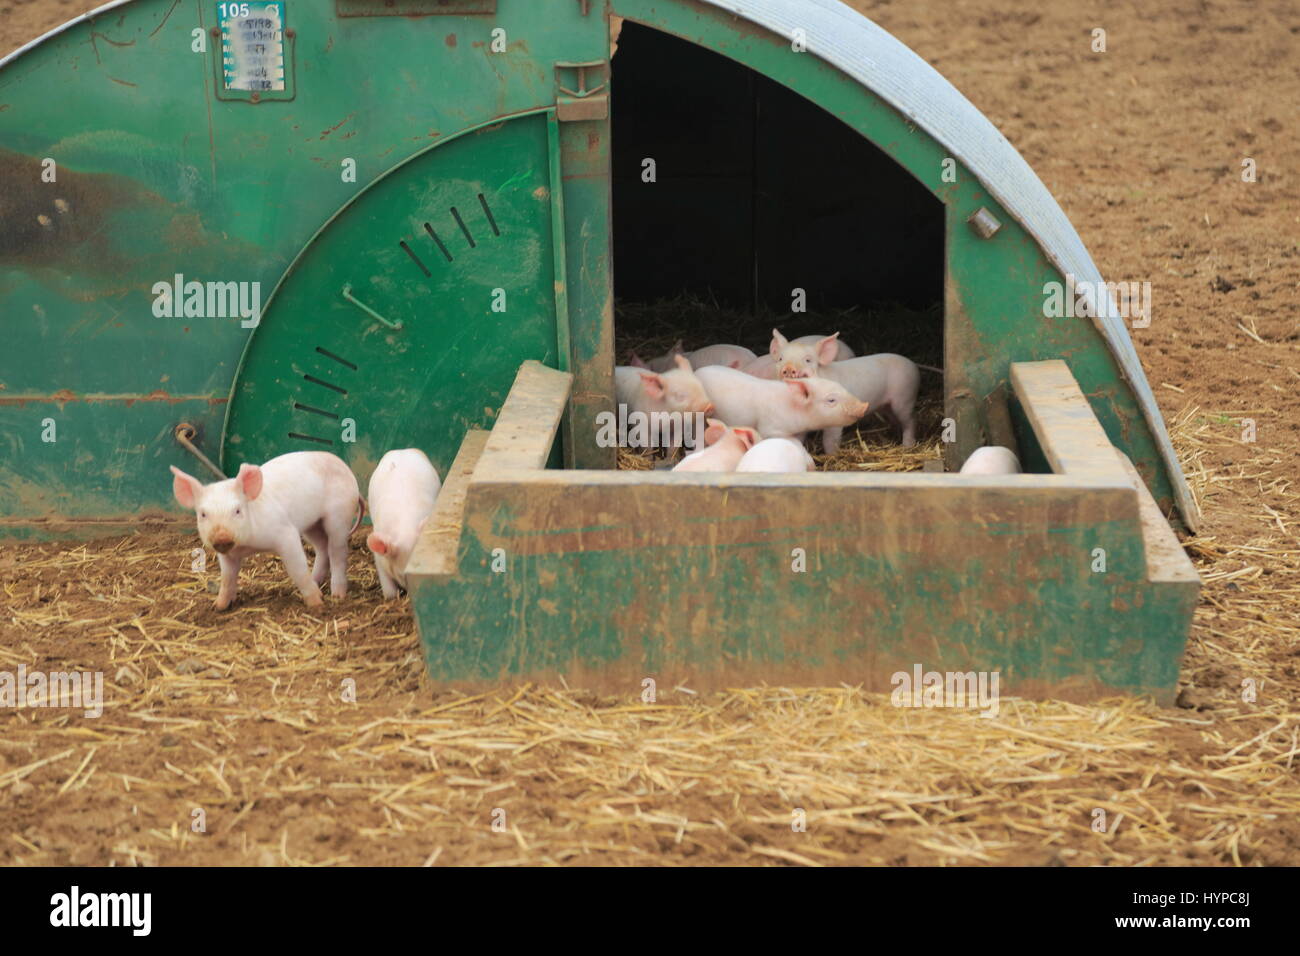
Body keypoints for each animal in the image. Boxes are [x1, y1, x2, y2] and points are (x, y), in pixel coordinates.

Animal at [170, 451, 363, 611]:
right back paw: (317, 580)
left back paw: (337, 595)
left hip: (339, 515)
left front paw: (317, 604)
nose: (222, 537)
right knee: (322, 548)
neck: (247, 546)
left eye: (237, 510)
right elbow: (227, 578)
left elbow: (298, 571)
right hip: (312, 524)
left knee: (337, 551)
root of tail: (349, 473)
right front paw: (218, 607)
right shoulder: (227, 555)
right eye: (203, 514)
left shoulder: (287, 533)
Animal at [366, 448, 442, 599]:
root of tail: (402, 450)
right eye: (403, 575)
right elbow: (388, 590)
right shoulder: (380, 557)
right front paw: (392, 597)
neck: (405, 527)